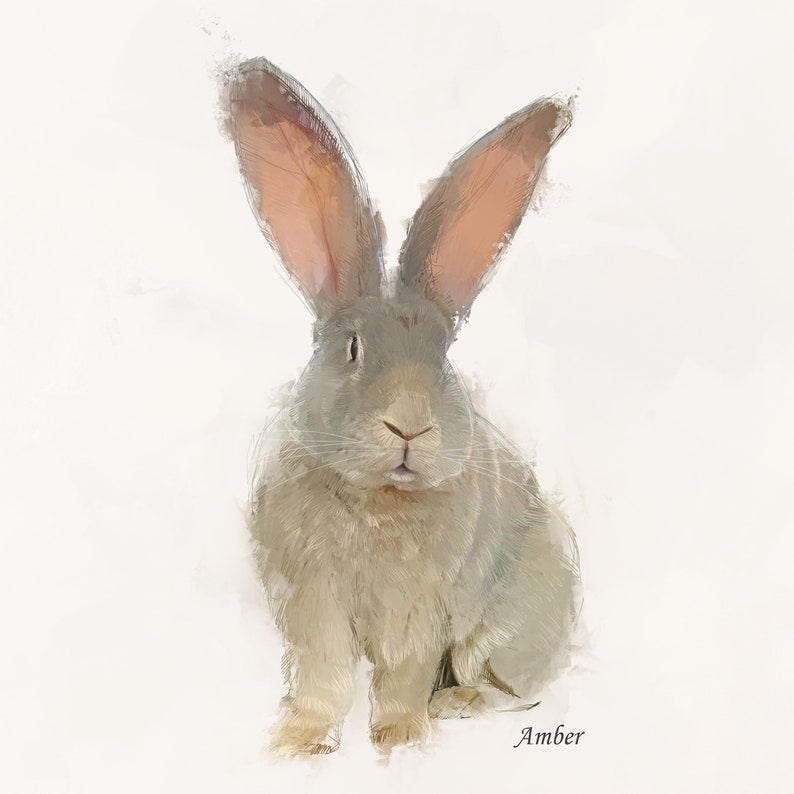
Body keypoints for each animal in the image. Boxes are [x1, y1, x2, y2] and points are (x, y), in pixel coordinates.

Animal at [224, 57, 581, 756]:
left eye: (443, 359)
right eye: (352, 349)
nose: (410, 426)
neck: (375, 500)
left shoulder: (418, 610)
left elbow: (401, 674)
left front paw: (397, 739)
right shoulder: (312, 604)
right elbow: (323, 675)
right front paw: (299, 741)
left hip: (504, 629)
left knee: (506, 688)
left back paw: (453, 706)